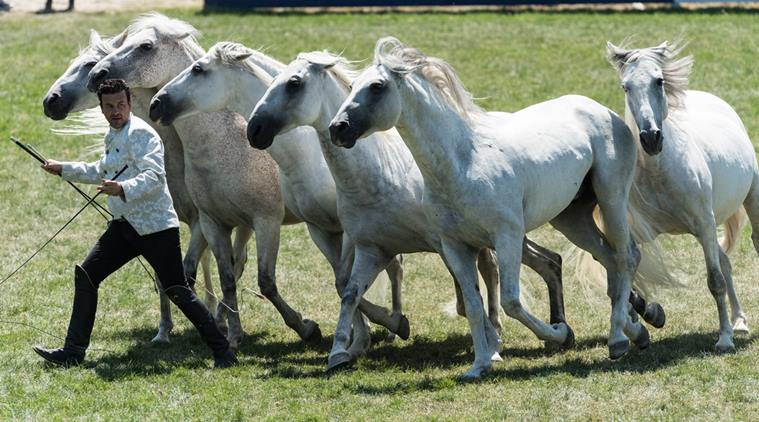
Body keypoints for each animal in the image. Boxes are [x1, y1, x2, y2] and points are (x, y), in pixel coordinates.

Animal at [85, 13, 310, 349]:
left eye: (146, 46)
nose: (96, 74)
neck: (222, 145)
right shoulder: (214, 223)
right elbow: (225, 277)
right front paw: (231, 334)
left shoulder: (265, 221)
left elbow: (264, 281)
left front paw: (304, 326)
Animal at [149, 41, 414, 347]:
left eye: (198, 69)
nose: (156, 103)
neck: (306, 157)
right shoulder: (316, 228)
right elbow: (339, 281)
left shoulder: (283, 223)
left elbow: (327, 282)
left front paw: (342, 334)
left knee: (395, 268)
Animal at [246, 49, 580, 368]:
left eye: (294, 83)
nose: (254, 129)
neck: (379, 174)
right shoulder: (369, 245)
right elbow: (348, 290)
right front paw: (344, 350)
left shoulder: (441, 242)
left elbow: (466, 292)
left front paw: (491, 346)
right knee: (541, 262)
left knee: (512, 268)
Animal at [328, 37, 656, 378]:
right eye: (351, 85)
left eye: (377, 86)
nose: (337, 128)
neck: (462, 164)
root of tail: (601, 109)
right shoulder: (456, 247)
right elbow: (474, 306)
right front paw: (479, 366)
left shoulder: (507, 237)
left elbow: (511, 302)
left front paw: (560, 333)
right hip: (571, 218)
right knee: (610, 258)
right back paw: (637, 331)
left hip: (611, 198)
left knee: (627, 255)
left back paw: (618, 339)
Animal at [607, 40, 759, 351]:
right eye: (626, 86)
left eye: (659, 80)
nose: (650, 138)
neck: (661, 173)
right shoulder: (642, 232)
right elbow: (624, 275)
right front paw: (638, 322)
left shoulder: (703, 224)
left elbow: (714, 281)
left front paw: (724, 340)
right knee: (726, 261)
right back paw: (739, 321)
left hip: (748, 201)